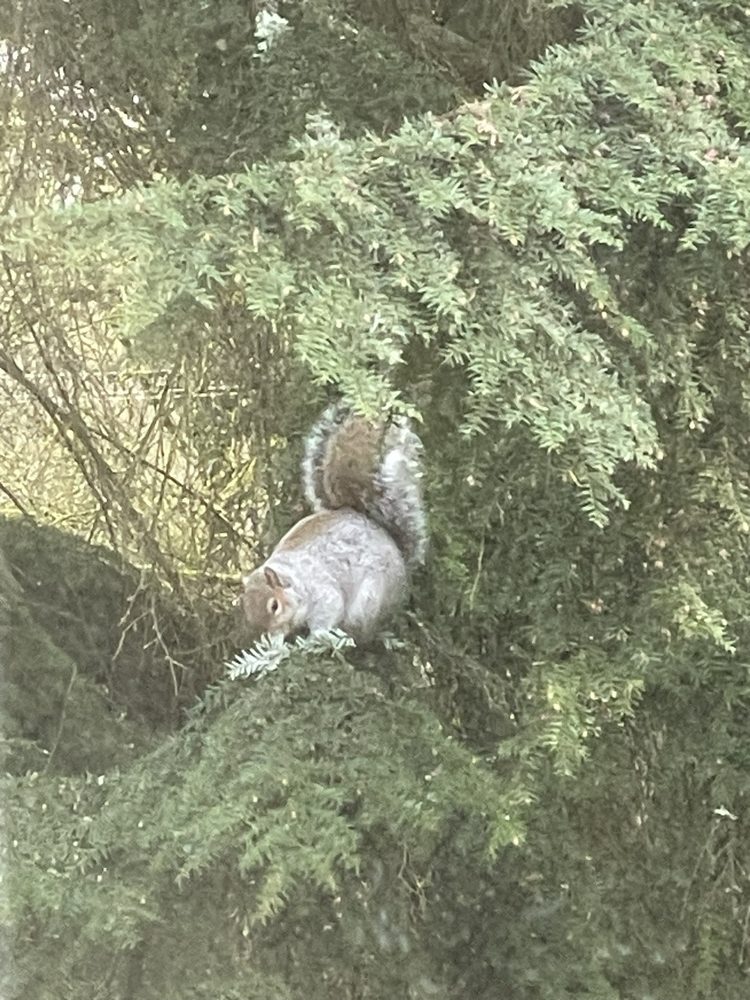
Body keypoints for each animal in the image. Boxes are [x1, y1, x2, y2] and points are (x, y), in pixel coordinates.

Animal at [241, 404, 427, 642]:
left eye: (274, 606)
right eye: (247, 612)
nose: (265, 638)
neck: (297, 578)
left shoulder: (323, 592)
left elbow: (328, 611)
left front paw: (314, 638)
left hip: (370, 600)